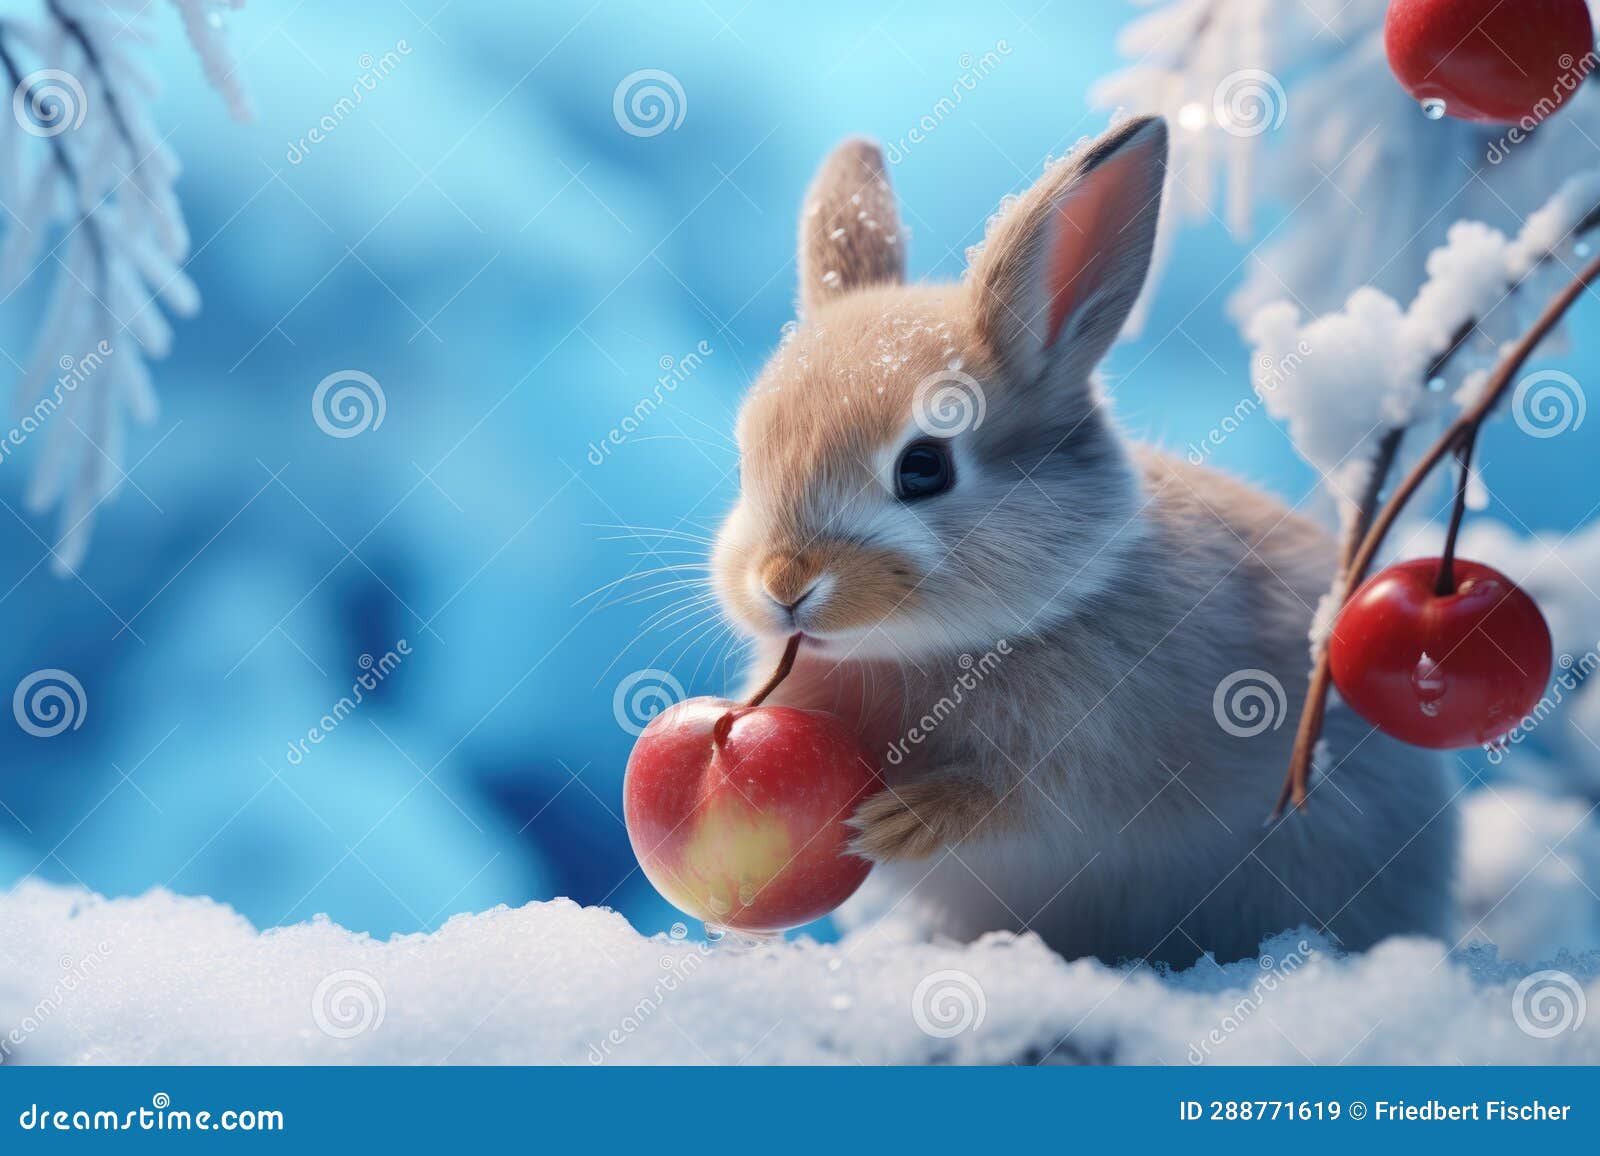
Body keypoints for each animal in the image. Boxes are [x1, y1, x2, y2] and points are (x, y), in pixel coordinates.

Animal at [709, 115, 1458, 967]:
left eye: (924, 468)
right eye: (746, 461)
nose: (784, 584)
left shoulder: (1086, 757)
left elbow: (1017, 799)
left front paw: (895, 822)